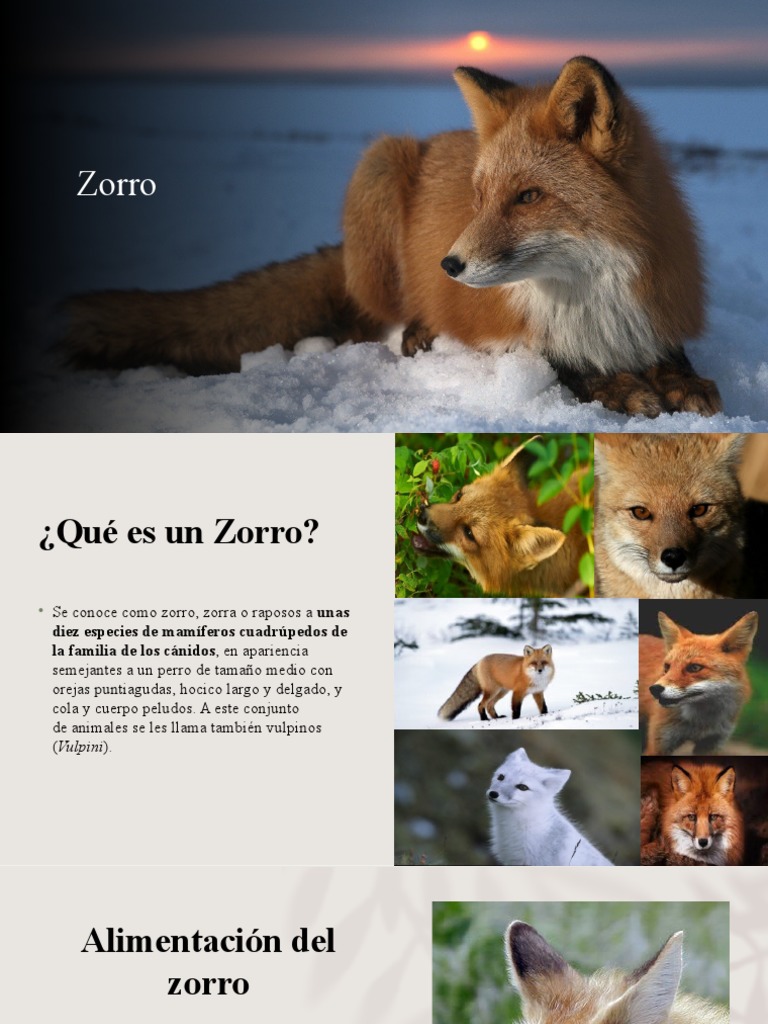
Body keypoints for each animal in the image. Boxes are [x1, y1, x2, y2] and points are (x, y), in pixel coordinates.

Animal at [62, 56, 721, 417]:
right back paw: (417, 332)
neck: (592, 299)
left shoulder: (655, 311)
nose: (449, 266)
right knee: (376, 319)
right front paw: (622, 389)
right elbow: (565, 366)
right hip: (379, 165)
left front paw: (683, 385)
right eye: (480, 197)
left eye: (529, 197)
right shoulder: (510, 335)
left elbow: (675, 359)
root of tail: (436, 138)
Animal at [639, 610, 756, 755]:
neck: (702, 723)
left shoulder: (713, 742)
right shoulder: (659, 743)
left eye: (694, 668)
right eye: (667, 667)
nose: (654, 689)